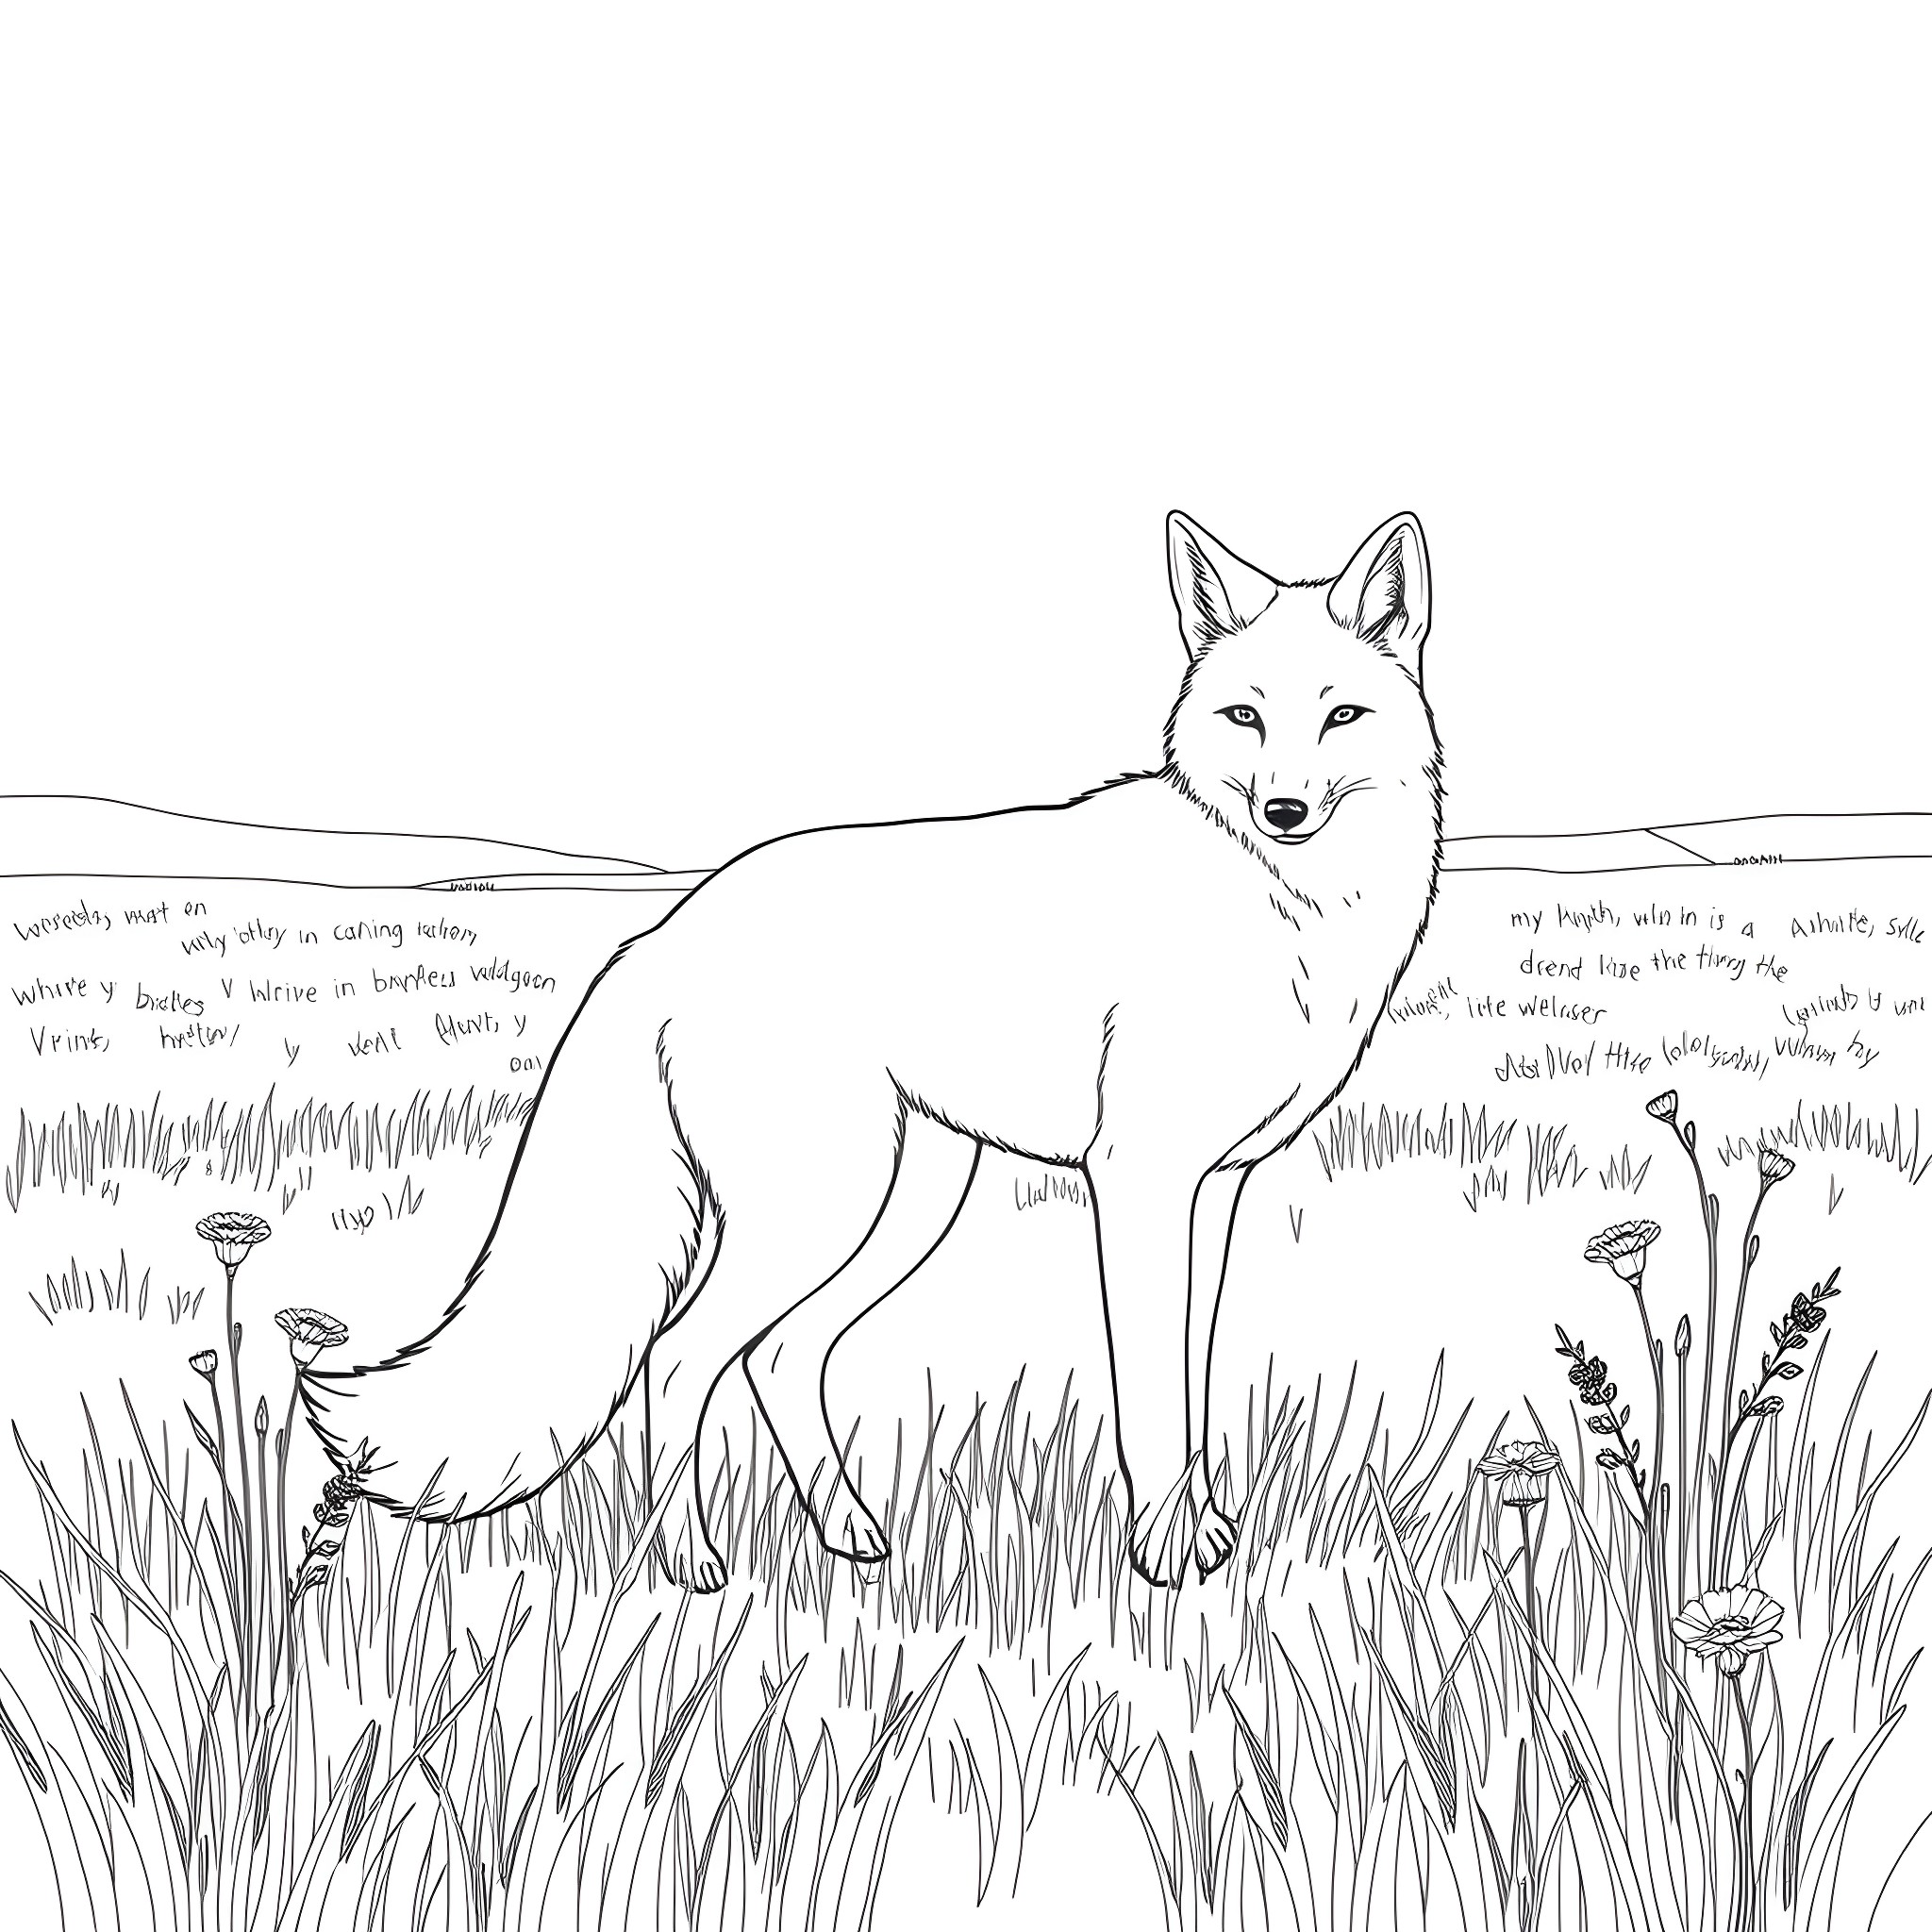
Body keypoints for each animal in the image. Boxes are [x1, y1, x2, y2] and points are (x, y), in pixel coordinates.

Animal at [301, 509, 1443, 1587]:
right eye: (1244, 716)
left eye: (1340, 715)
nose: (1283, 809)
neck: (1286, 906)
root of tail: (664, 930)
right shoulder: (1139, 1184)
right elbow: (1150, 1401)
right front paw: (1162, 1557)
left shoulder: (1214, 1189)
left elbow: (1193, 1384)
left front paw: (1206, 1538)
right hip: (826, 1210)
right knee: (680, 1357)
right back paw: (687, 1563)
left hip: (898, 1208)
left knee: (778, 1357)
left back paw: (848, 1532)